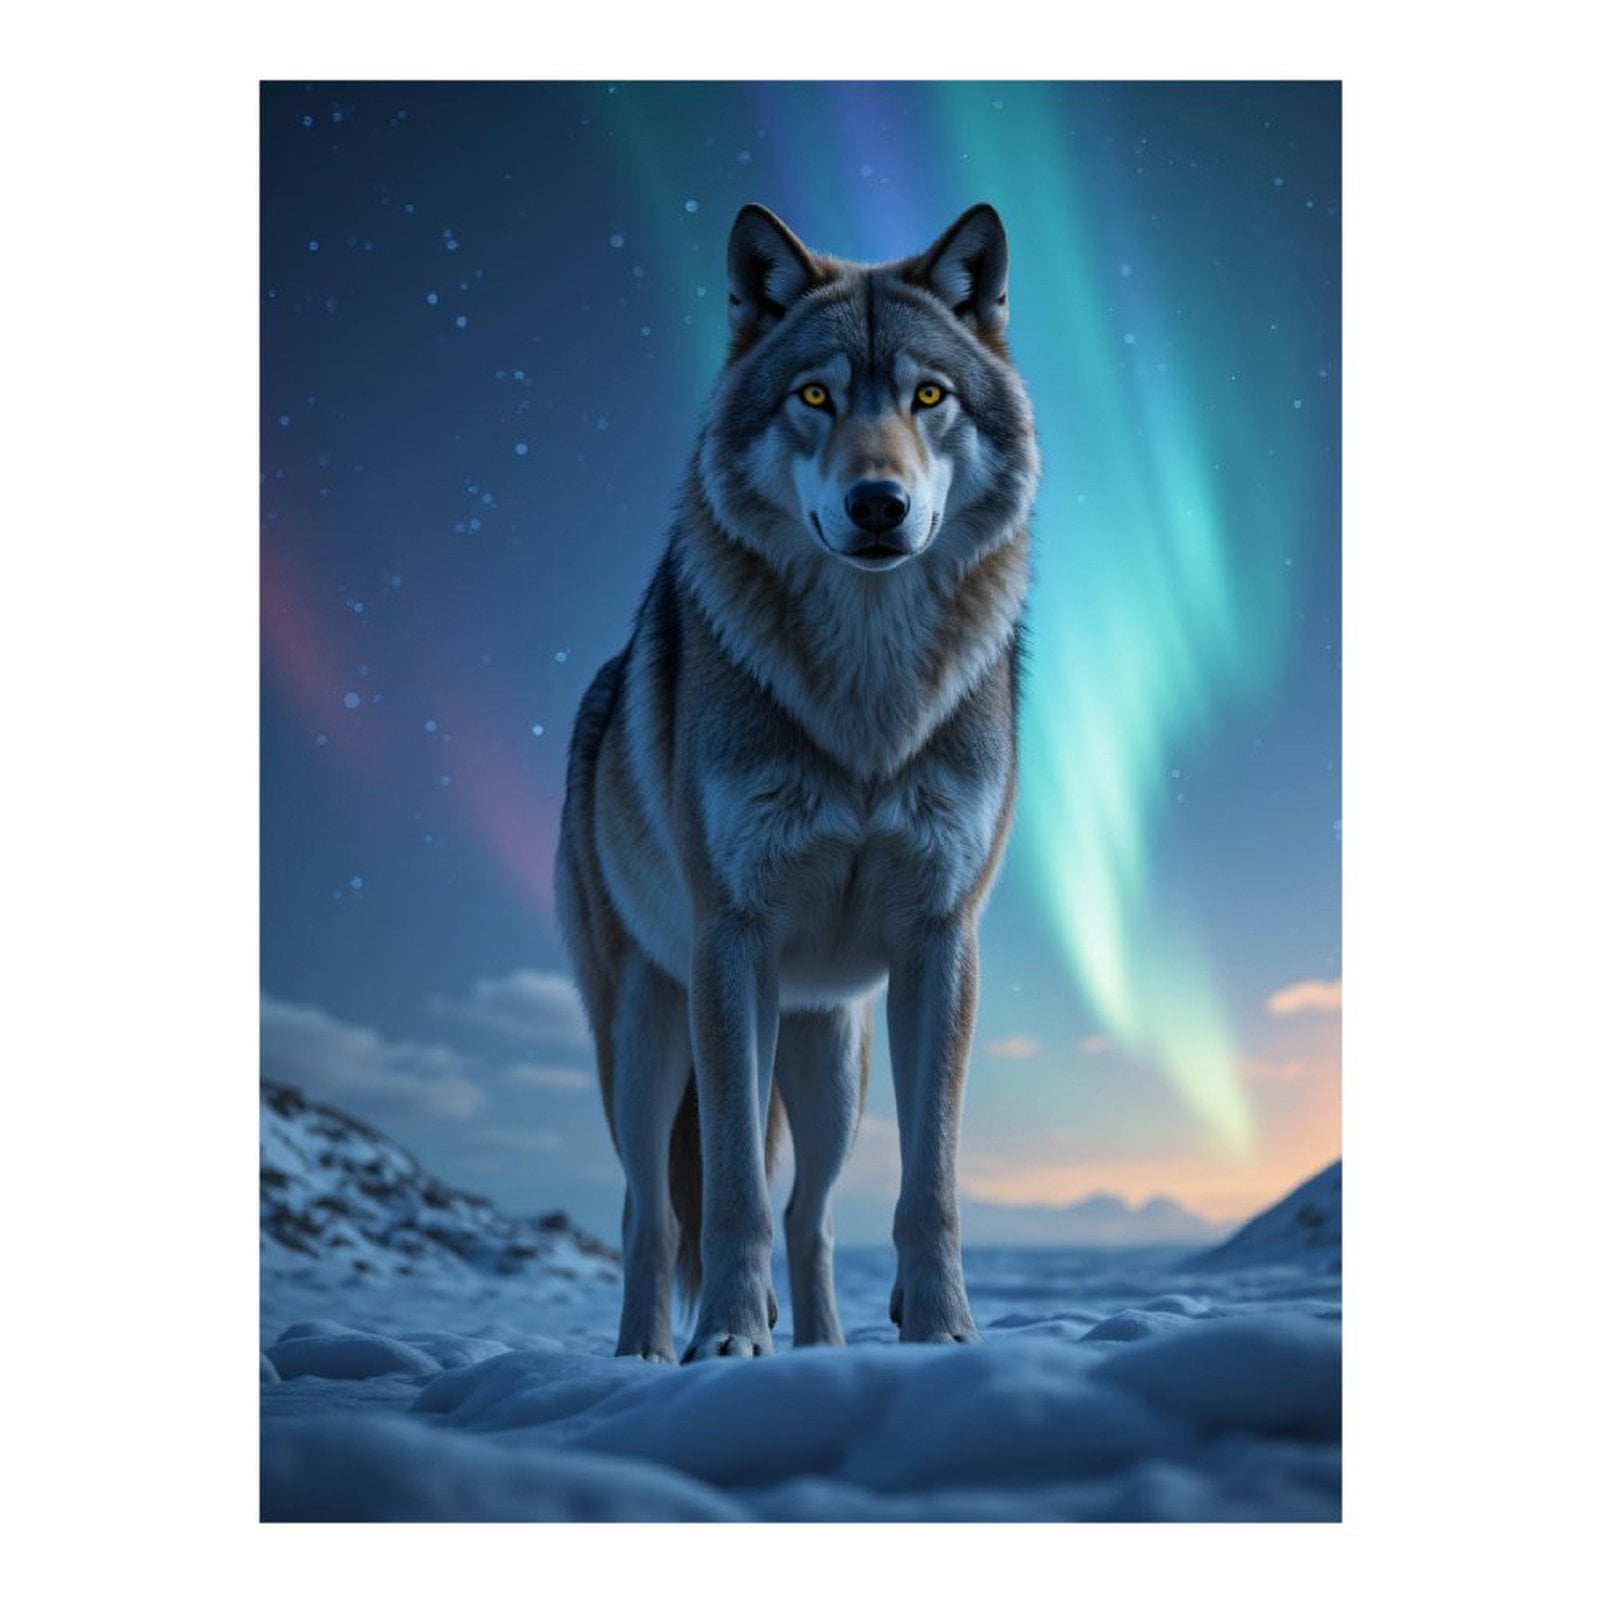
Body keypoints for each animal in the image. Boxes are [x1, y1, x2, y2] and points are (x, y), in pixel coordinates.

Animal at [556, 203, 1039, 1362]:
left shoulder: (940, 939)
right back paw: (646, 1357)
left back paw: (822, 1350)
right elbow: (729, 1186)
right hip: (643, 1042)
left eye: (927, 396)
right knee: (651, 1209)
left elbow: (930, 1184)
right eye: (813, 395)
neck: (867, 701)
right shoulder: (734, 939)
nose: (878, 504)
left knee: (811, 1213)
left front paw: (944, 1334)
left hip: (832, 1067)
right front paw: (729, 1339)